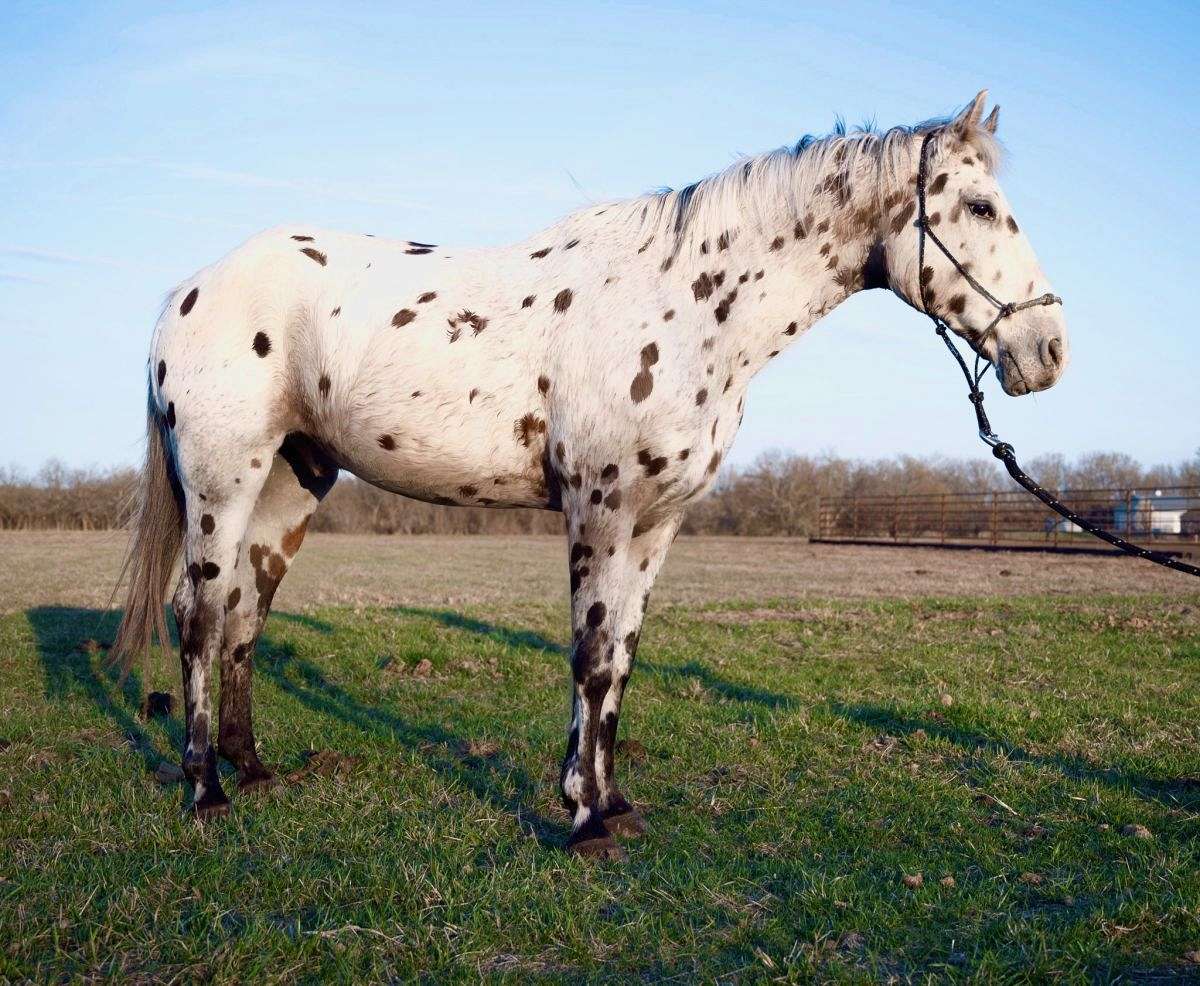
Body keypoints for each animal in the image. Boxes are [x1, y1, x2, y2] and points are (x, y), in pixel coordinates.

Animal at [112, 90, 1068, 859]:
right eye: (980, 204)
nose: (1048, 350)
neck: (690, 305)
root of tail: (189, 291)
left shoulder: (656, 523)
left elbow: (623, 660)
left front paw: (610, 802)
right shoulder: (600, 508)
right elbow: (592, 656)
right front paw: (583, 822)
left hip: (290, 485)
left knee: (244, 616)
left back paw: (253, 769)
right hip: (223, 485)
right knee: (199, 616)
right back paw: (205, 790)